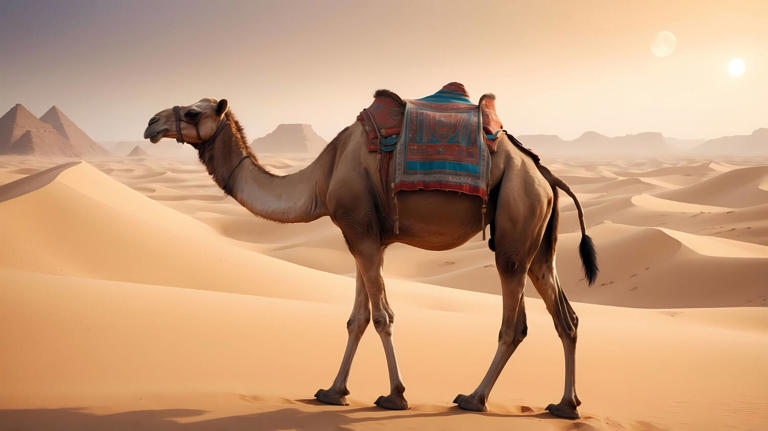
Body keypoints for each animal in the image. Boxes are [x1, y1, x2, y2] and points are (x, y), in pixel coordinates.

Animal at [143, 96, 598, 419]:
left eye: (192, 111)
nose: (151, 123)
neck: (322, 176)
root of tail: (545, 174)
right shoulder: (364, 238)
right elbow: (356, 319)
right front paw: (332, 392)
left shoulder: (360, 232)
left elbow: (382, 317)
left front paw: (395, 396)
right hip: (538, 242)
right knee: (567, 317)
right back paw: (566, 405)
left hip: (513, 231)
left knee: (514, 325)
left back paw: (474, 398)